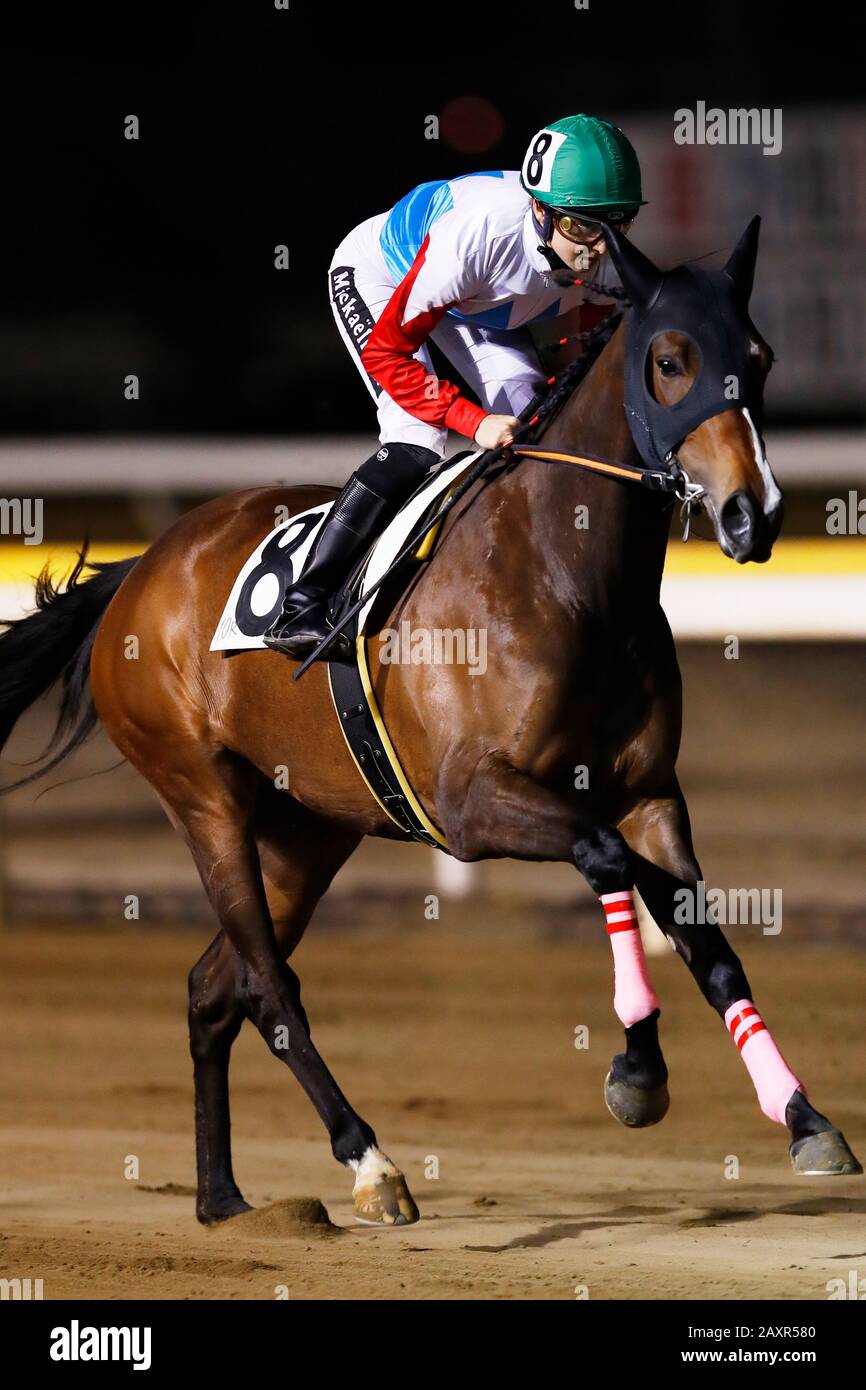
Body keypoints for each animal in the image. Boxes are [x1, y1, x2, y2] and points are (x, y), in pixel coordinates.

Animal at [1, 218, 859, 1228]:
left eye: (758, 360)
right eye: (670, 360)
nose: (751, 514)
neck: (565, 574)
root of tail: (139, 572)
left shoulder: (650, 793)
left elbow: (707, 941)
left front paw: (804, 1117)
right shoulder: (471, 802)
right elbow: (604, 857)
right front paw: (638, 1070)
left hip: (308, 828)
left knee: (212, 987)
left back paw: (223, 1198)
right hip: (201, 796)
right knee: (266, 983)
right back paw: (369, 1163)